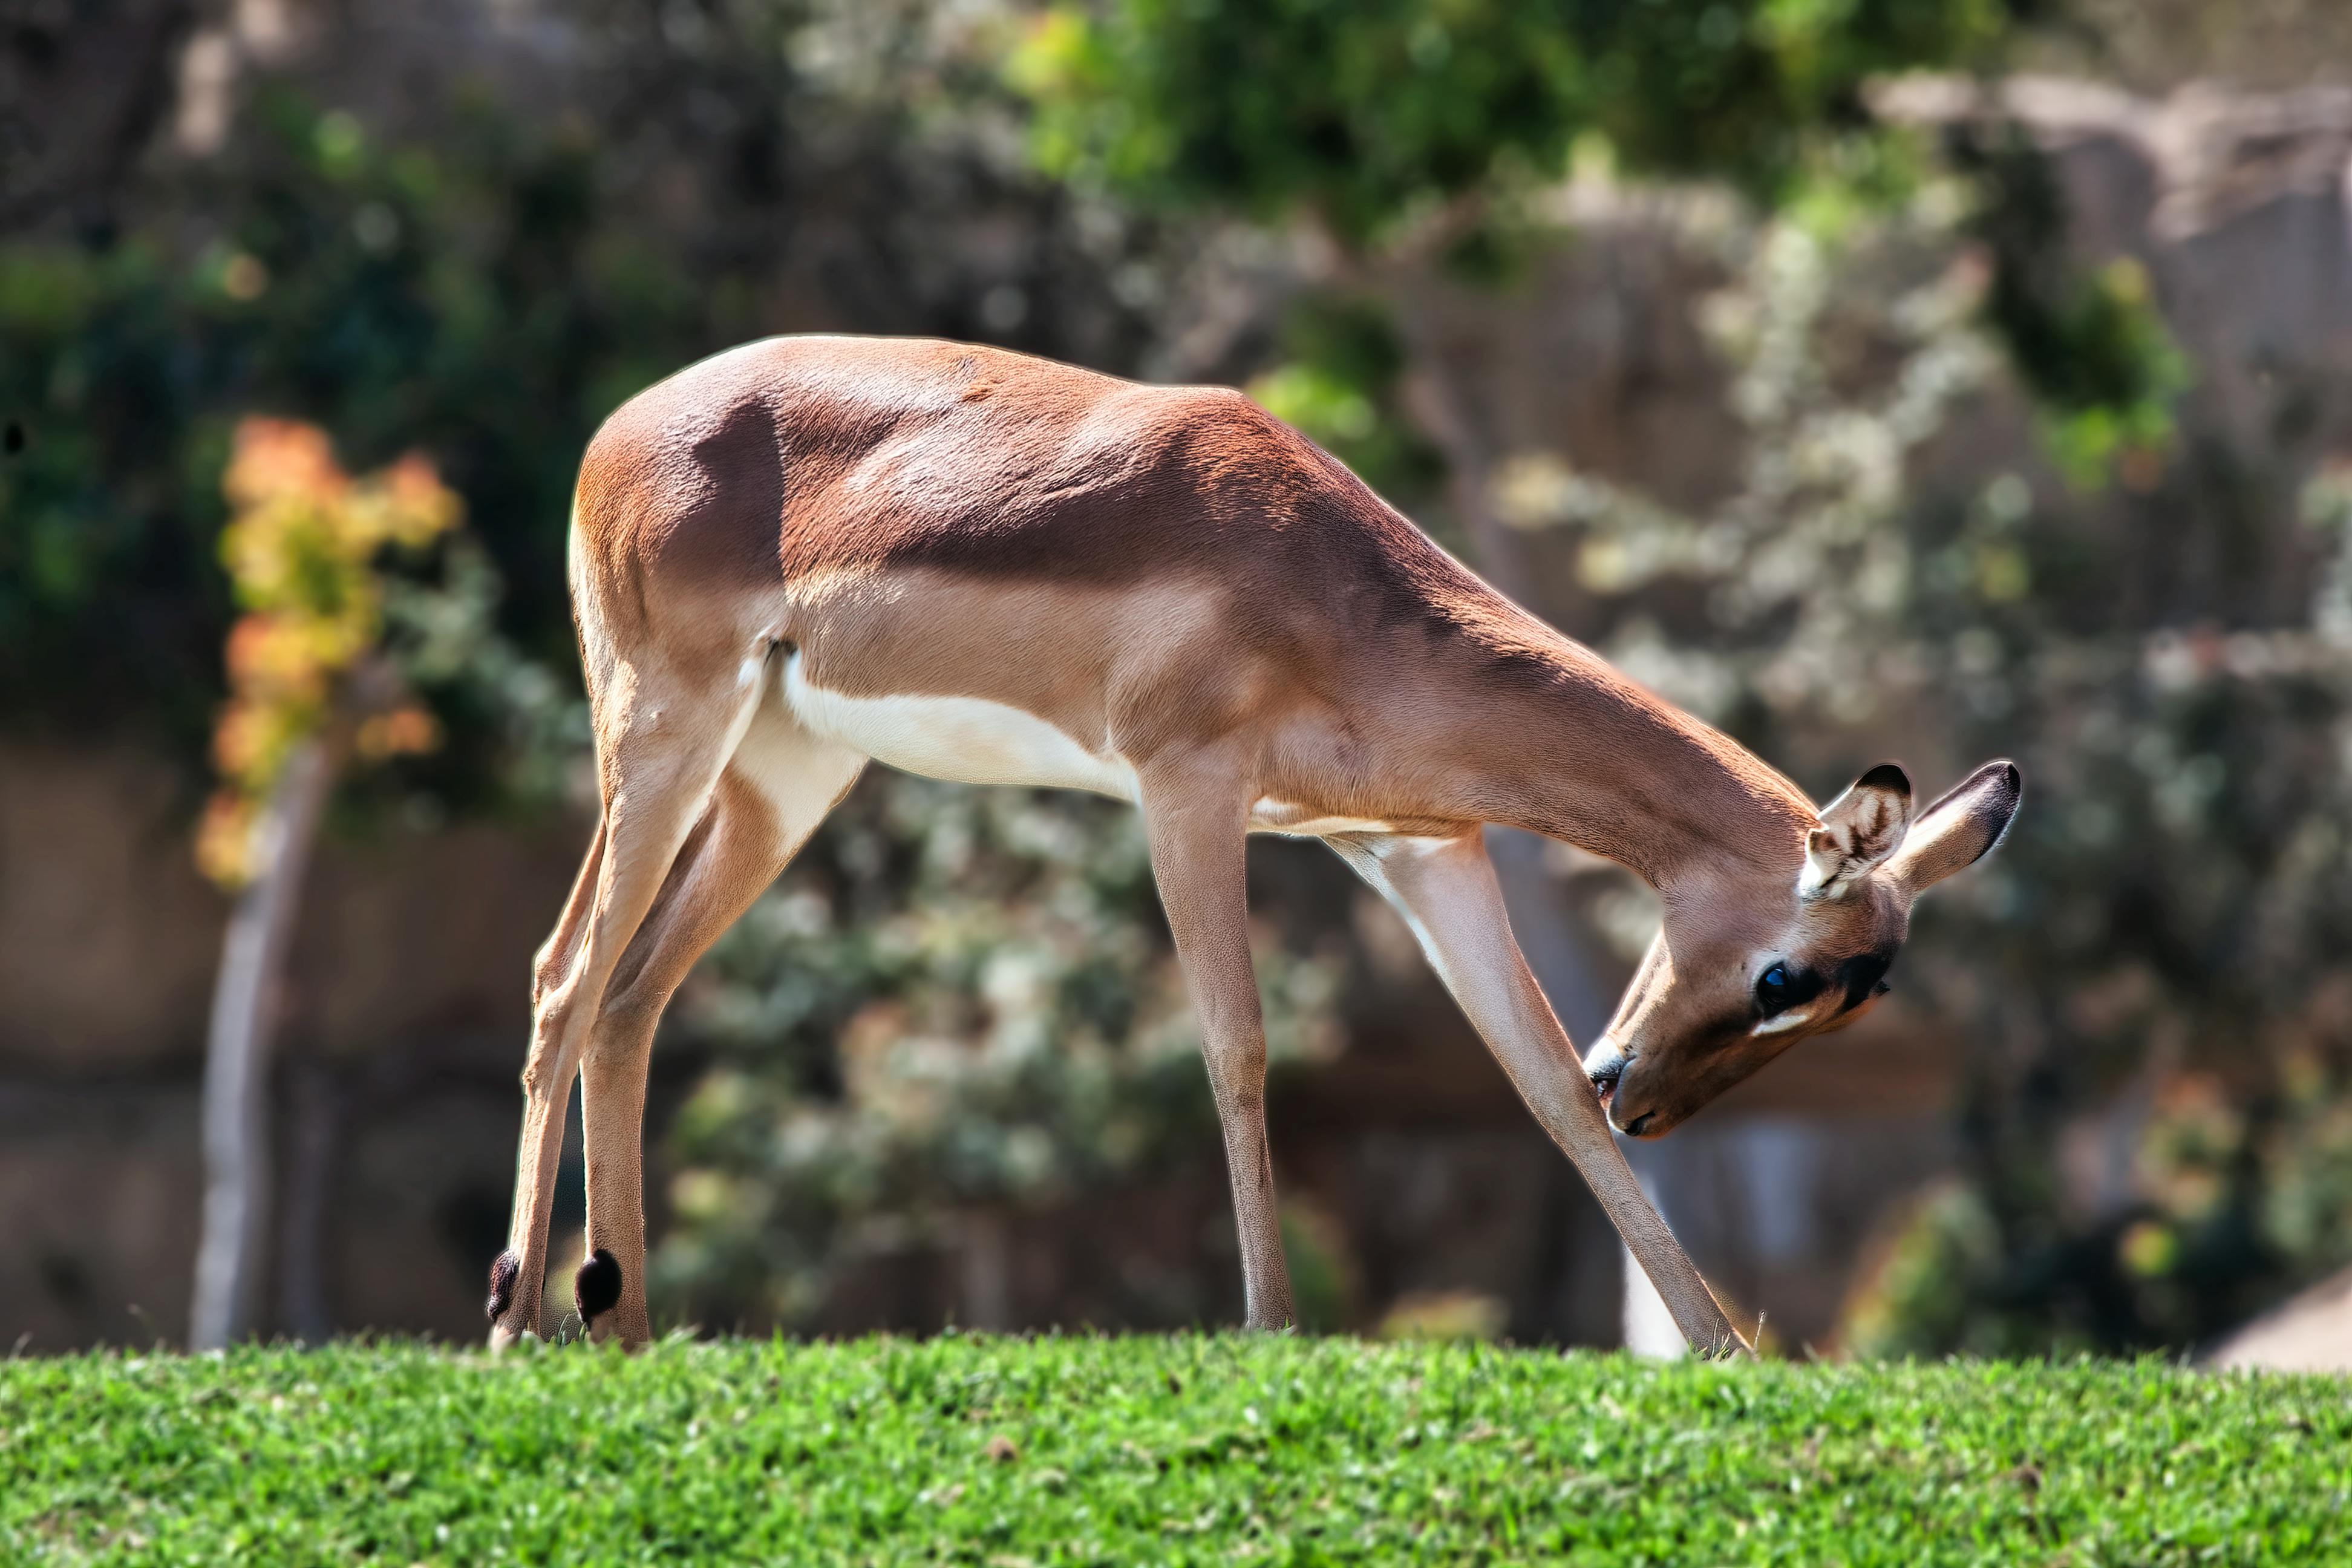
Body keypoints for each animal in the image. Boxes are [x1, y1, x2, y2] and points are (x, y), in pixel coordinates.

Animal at [485, 335, 2023, 1357]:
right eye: (1784, 975)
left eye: (1848, 998)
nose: (1644, 1093)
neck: (1326, 591)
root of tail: (619, 430)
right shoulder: (1187, 793)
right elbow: (1238, 1048)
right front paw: (1274, 1328)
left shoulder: (1424, 852)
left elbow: (1542, 1091)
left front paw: (1726, 1354)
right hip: (664, 731)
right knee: (562, 976)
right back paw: (513, 1325)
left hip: (787, 774)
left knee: (630, 999)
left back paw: (623, 1328)